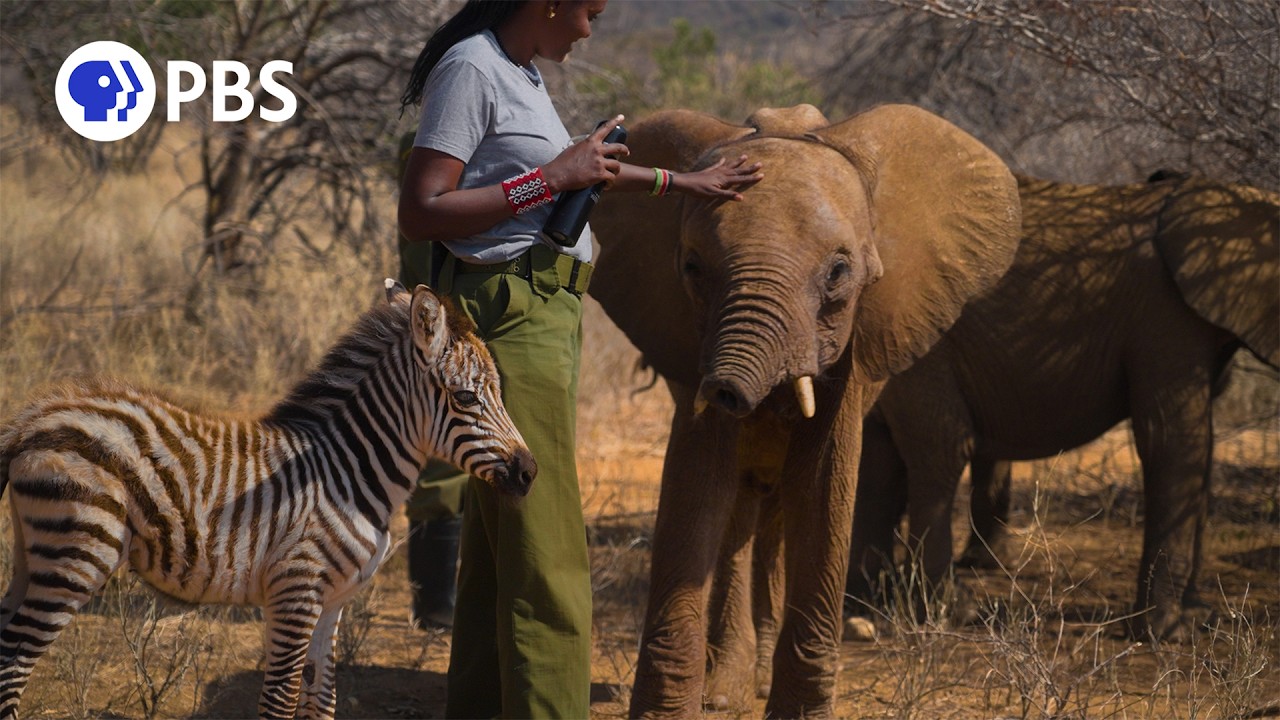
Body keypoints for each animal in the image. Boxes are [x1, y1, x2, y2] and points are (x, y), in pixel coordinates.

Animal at [0, 279, 535, 719]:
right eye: (466, 398)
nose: (530, 472)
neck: (348, 469)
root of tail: (34, 419)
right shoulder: (295, 589)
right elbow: (280, 700)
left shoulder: (333, 600)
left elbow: (322, 700)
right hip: (78, 553)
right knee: (14, 665)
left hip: (35, 554)